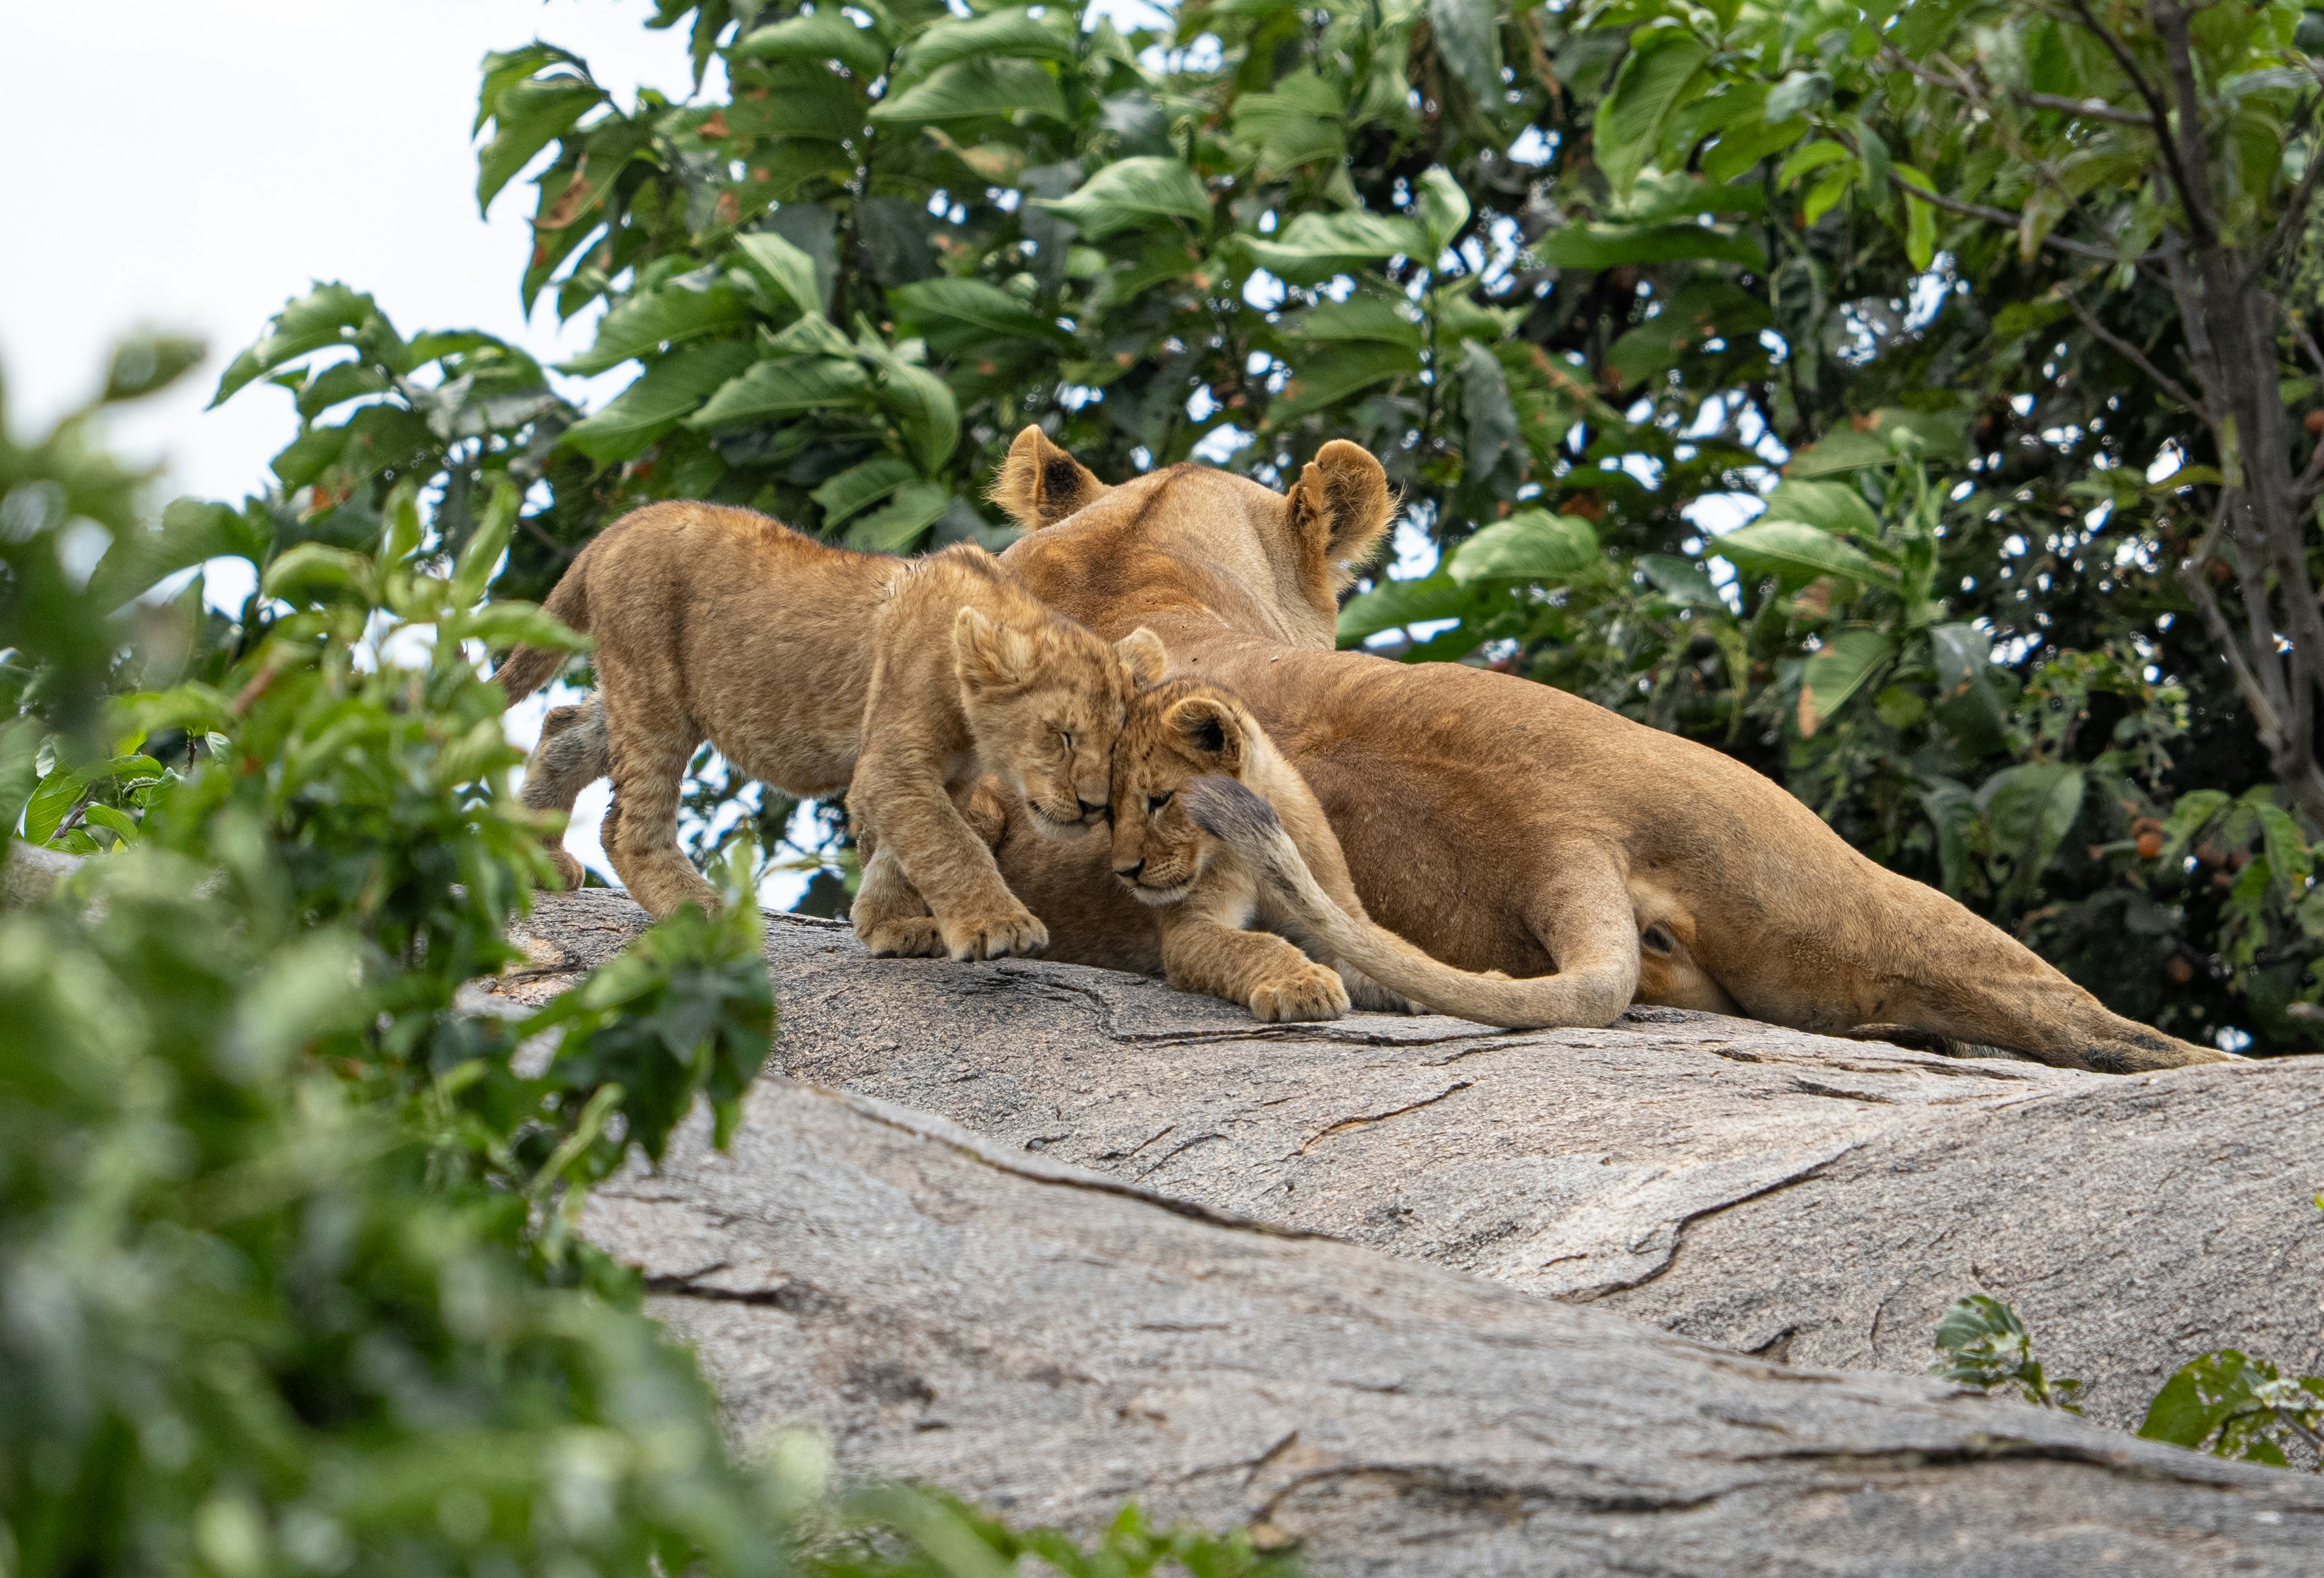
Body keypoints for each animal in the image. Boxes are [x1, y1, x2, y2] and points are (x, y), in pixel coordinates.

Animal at [494, 499, 1166, 957]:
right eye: (1061, 735)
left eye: (1115, 745)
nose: (1093, 807)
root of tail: (619, 527)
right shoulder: (893, 764)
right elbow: (952, 845)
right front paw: (999, 926)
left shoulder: (940, 777)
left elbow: (906, 849)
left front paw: (890, 927)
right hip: (654, 687)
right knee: (628, 825)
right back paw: (699, 909)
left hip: (641, 694)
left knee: (564, 728)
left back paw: (537, 859)